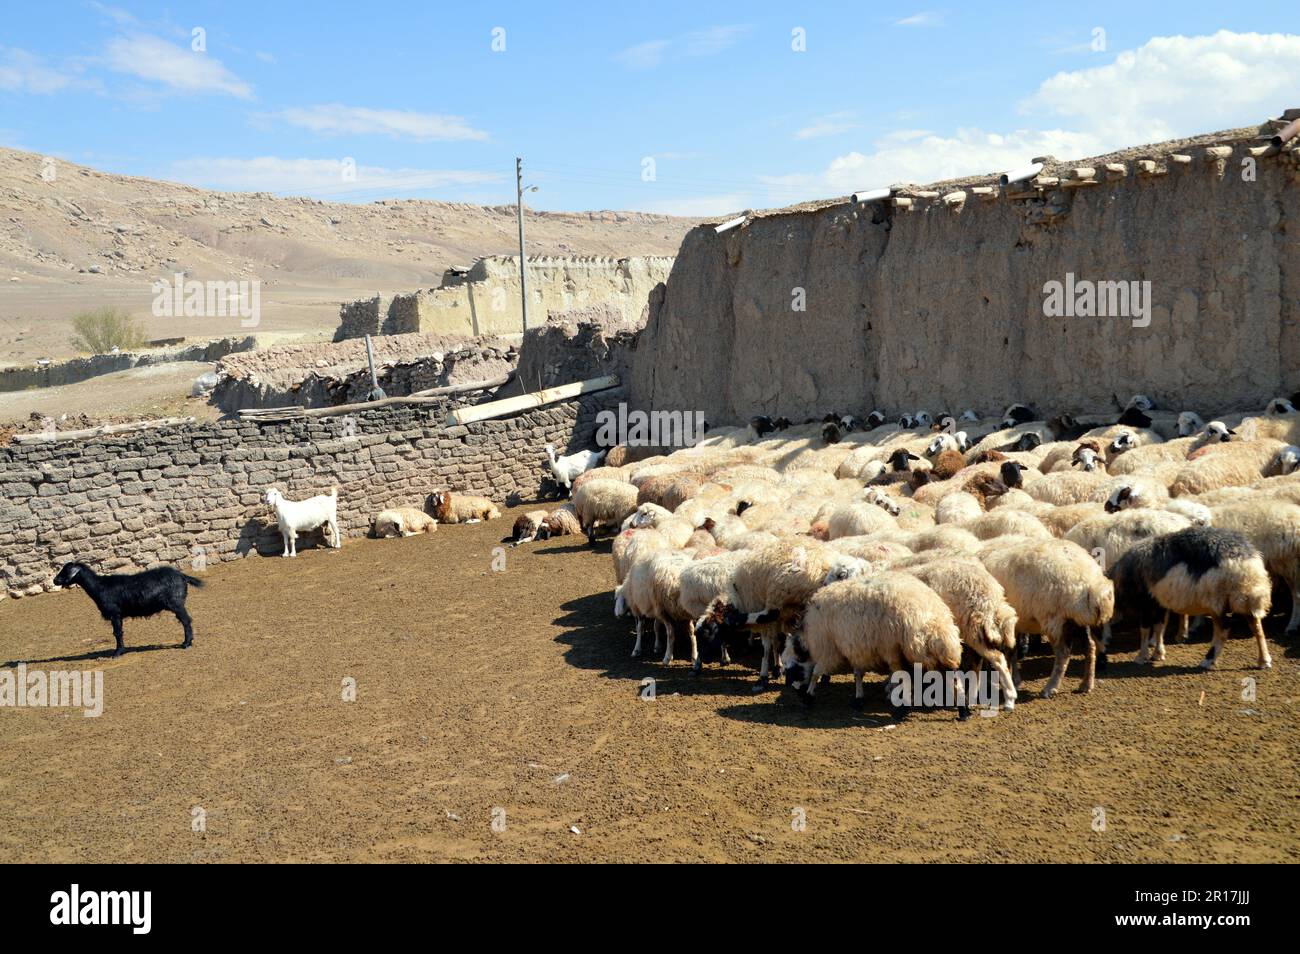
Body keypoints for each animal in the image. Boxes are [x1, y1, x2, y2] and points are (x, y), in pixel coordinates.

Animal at [52, 562, 203, 656]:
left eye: (65, 571)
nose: (55, 580)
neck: (100, 586)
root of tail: (182, 576)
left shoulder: (115, 614)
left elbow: (117, 633)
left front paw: (117, 652)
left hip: (176, 603)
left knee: (186, 621)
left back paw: (186, 643)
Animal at [779, 571, 969, 720]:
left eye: (793, 669)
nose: (797, 694)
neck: (808, 638)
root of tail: (935, 623)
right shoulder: (856, 646)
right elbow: (858, 674)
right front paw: (858, 699)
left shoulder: (828, 647)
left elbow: (816, 673)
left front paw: (808, 697)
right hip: (934, 652)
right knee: (953, 675)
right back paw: (963, 710)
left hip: (896, 648)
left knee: (906, 676)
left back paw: (903, 710)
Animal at [977, 537, 1114, 697]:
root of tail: (1090, 581)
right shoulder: (1013, 623)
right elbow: (1012, 651)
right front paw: (1014, 680)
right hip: (1077, 618)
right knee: (1090, 647)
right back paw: (1086, 684)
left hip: (1054, 619)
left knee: (1063, 654)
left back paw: (1050, 687)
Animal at [1108, 528, 1272, 671]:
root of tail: (1247, 564)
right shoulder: (1158, 602)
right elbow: (1160, 626)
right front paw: (1158, 654)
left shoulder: (1145, 601)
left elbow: (1145, 629)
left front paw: (1142, 657)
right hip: (1245, 600)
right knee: (1256, 627)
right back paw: (1264, 660)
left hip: (1218, 600)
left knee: (1224, 629)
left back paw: (1208, 660)